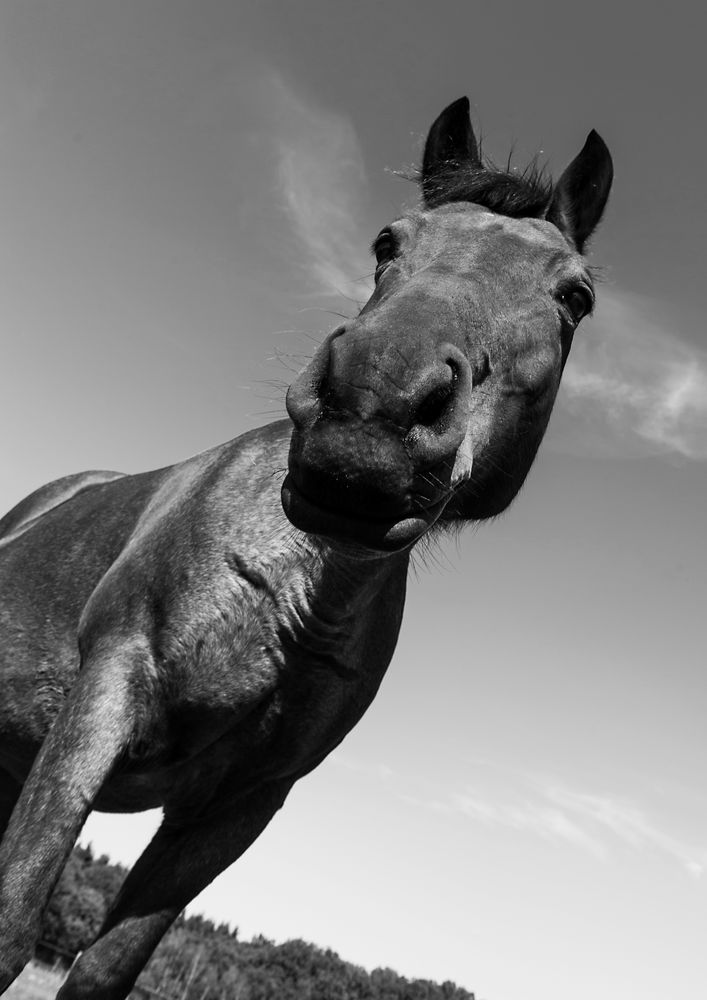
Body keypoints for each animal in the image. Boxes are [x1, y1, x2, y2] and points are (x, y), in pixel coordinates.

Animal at [0, 97, 612, 998]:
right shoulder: (103, 691)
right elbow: (14, 922)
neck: (285, 597)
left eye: (575, 295)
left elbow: (106, 969)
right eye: (387, 242)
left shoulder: (237, 809)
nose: (373, 406)